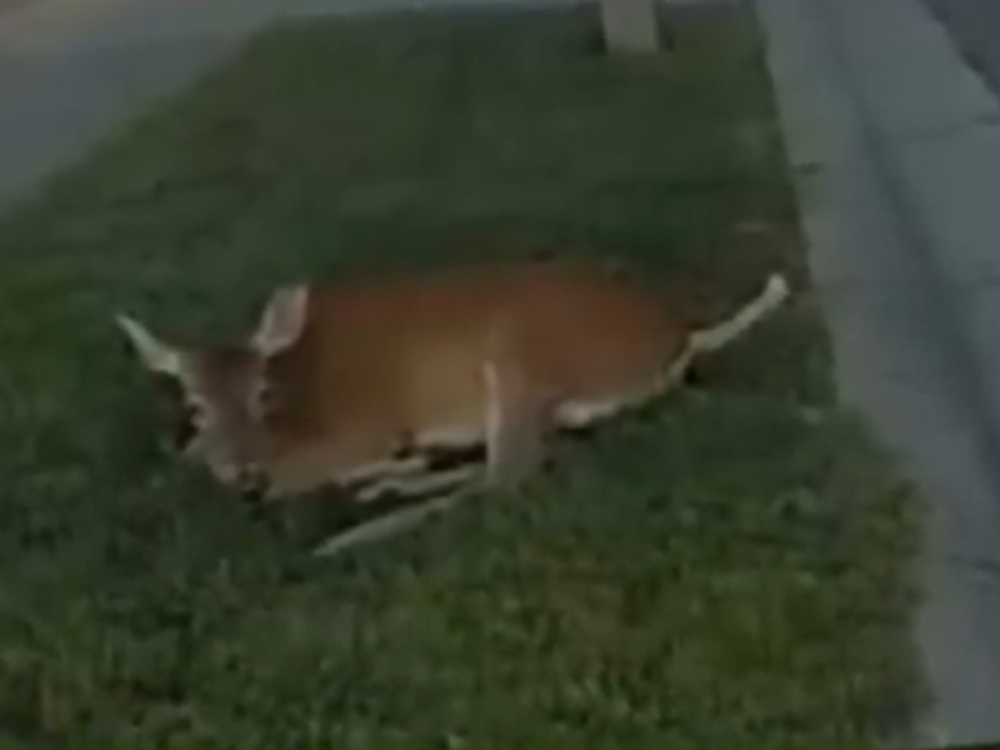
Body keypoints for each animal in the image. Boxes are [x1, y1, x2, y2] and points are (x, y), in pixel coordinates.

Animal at [116, 258, 790, 556]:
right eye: (195, 405)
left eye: (261, 393)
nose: (244, 472)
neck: (302, 393)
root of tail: (683, 335)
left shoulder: (364, 425)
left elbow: (298, 475)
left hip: (522, 354)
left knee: (515, 473)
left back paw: (356, 529)